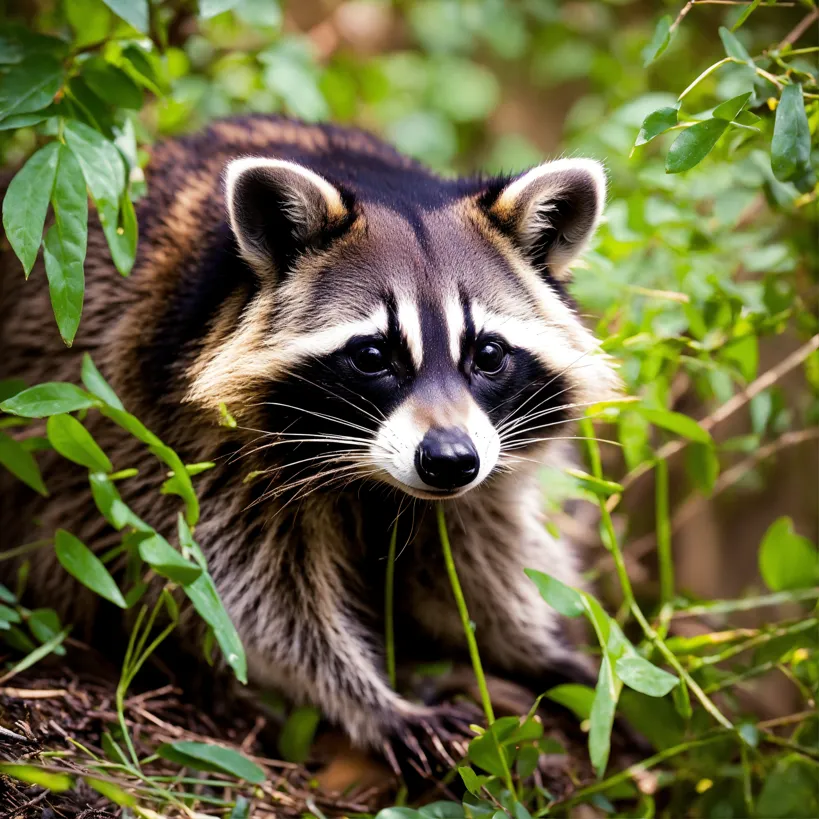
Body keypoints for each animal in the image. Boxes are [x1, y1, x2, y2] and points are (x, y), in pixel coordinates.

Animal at [0, 116, 619, 759]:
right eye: (373, 356)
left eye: (489, 354)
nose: (449, 461)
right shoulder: (188, 438)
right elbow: (248, 599)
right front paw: (369, 701)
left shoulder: (482, 468)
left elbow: (478, 562)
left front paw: (534, 646)